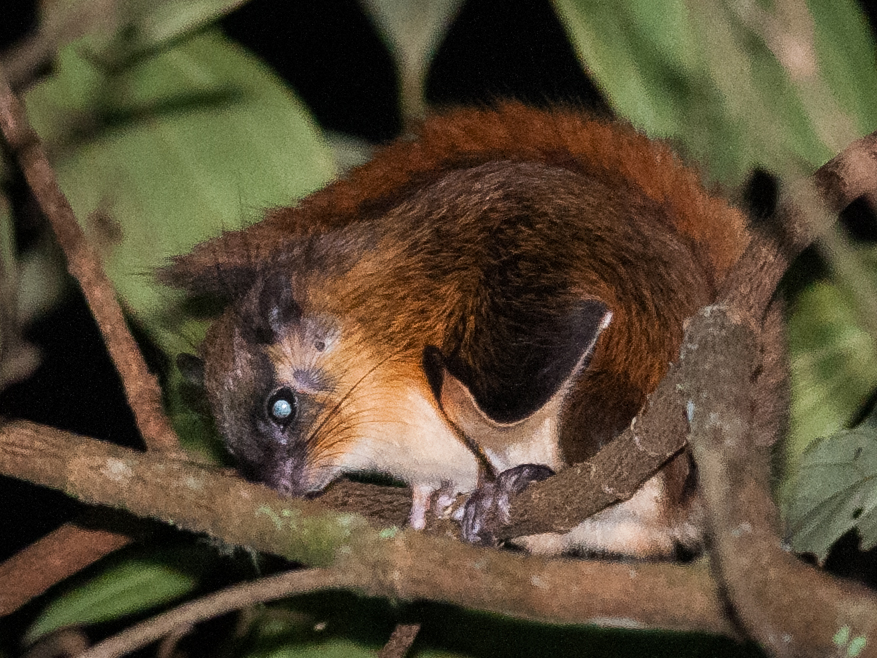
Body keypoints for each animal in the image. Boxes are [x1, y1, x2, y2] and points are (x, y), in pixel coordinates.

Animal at [162, 103, 764, 558]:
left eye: (280, 407)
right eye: (234, 449)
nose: (279, 491)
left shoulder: (510, 300)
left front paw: (491, 487)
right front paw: (428, 507)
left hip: (598, 408)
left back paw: (523, 483)